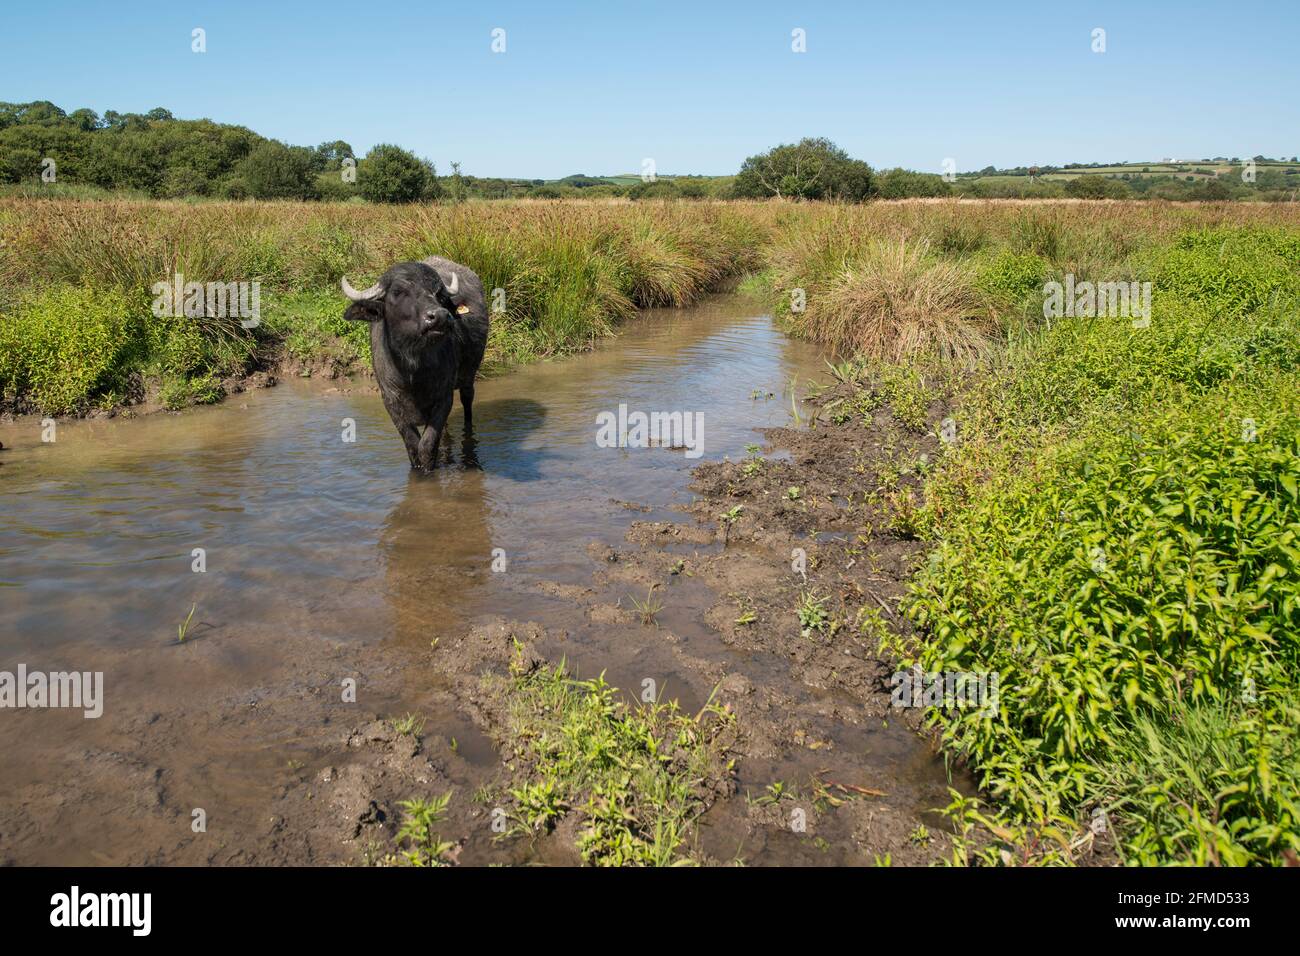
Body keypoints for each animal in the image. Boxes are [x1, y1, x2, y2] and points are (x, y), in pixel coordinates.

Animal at [341, 256, 490, 470]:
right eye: (398, 292)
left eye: (439, 294)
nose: (440, 316)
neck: (413, 370)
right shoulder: (391, 401)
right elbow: (412, 446)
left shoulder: (443, 398)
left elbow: (427, 446)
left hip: (469, 376)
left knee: (467, 402)